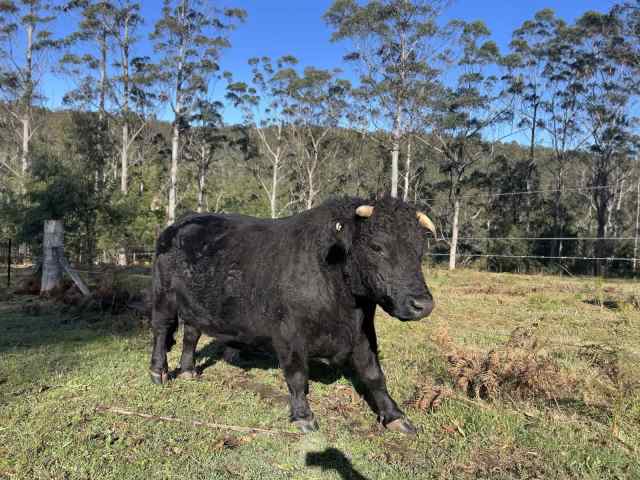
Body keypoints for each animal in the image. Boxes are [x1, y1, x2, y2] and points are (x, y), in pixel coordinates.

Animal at [150, 196, 436, 435]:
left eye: (420, 249)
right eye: (377, 246)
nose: (423, 304)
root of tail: (181, 222)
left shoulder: (363, 332)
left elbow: (374, 374)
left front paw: (395, 416)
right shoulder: (289, 334)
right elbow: (297, 376)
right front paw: (303, 417)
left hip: (196, 305)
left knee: (191, 333)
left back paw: (188, 371)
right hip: (164, 297)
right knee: (161, 330)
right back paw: (158, 372)